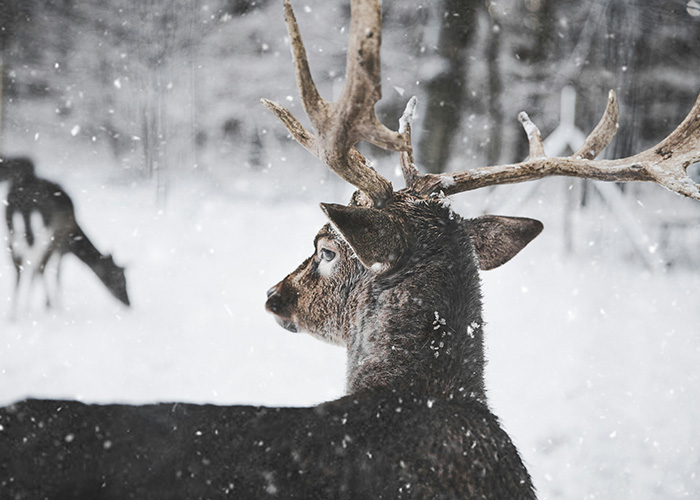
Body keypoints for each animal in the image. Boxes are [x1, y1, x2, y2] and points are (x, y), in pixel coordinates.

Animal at [0, 156, 130, 317]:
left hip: (13, 228)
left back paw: (14, 313)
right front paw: (54, 306)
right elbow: (56, 273)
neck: (74, 238)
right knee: (35, 264)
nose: (129, 303)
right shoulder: (60, 244)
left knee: (20, 264)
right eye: (120, 279)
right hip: (44, 232)